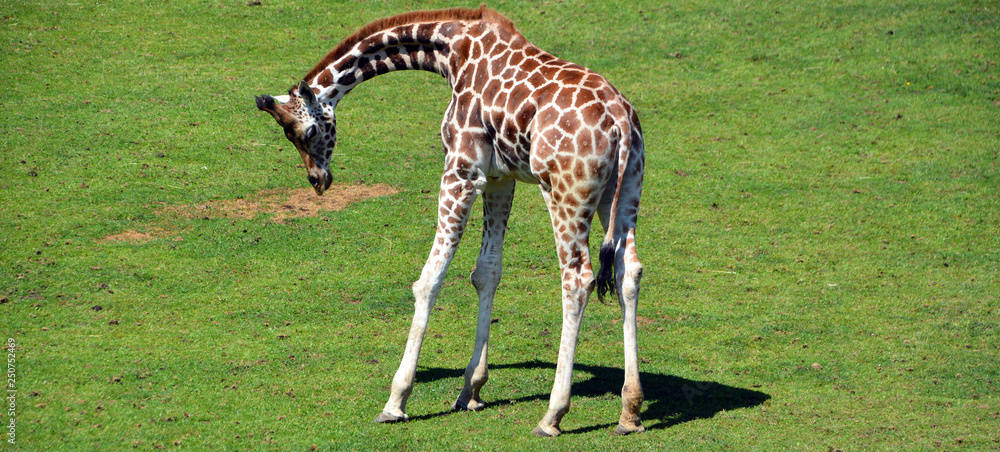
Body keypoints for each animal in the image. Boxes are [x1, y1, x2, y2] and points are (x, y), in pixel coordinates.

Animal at [255, 6, 645, 437]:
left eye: (308, 131)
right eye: (289, 136)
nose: (318, 180)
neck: (451, 53)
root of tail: (620, 120)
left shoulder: (461, 170)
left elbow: (429, 279)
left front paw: (396, 400)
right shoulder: (499, 176)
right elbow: (487, 271)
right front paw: (470, 390)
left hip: (565, 193)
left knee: (577, 279)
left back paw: (553, 415)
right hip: (624, 192)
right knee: (629, 271)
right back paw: (630, 411)